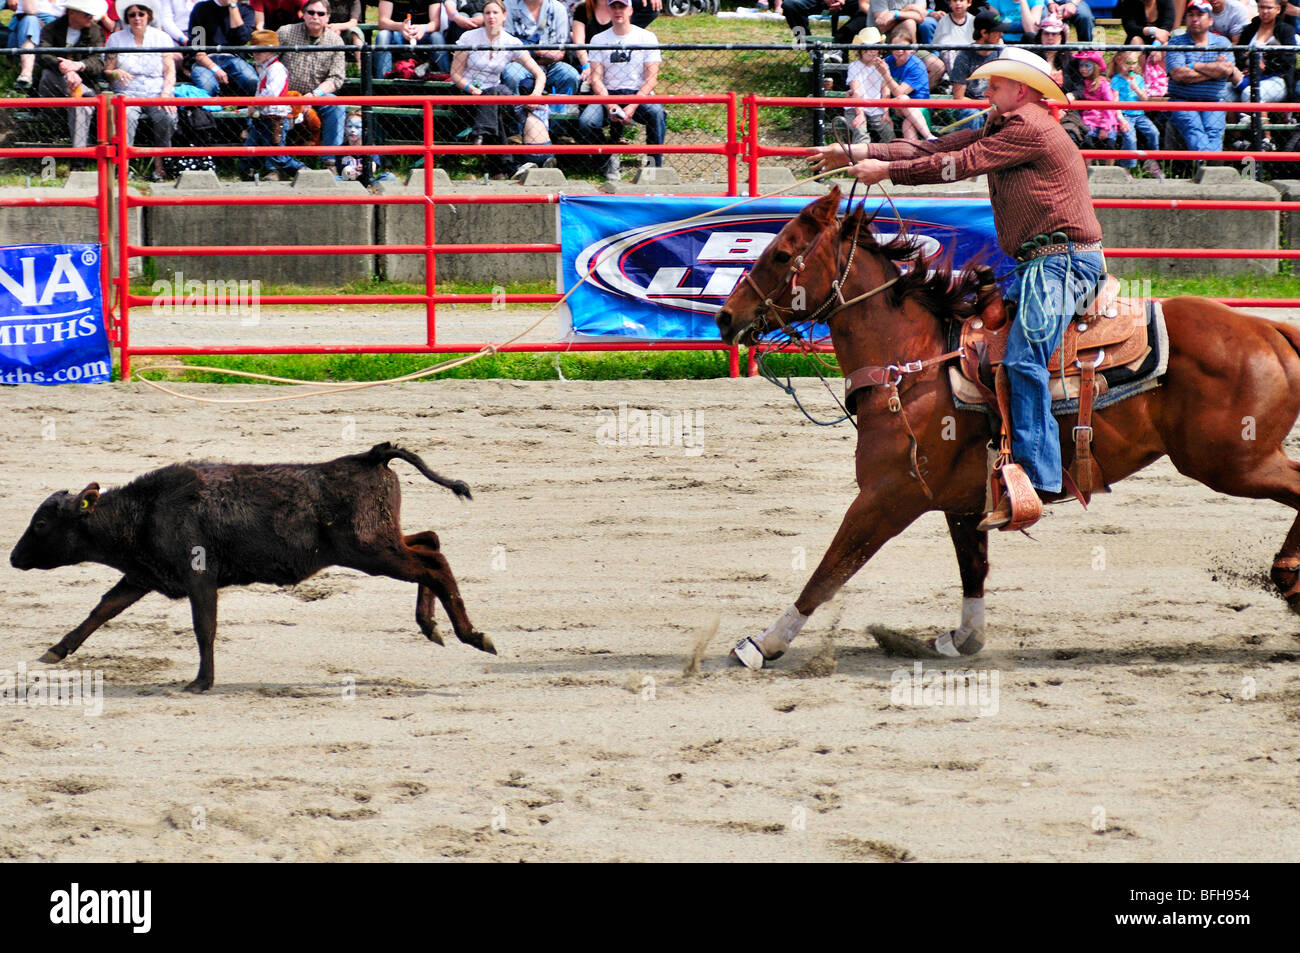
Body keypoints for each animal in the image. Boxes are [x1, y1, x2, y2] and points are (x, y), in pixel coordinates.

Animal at [9, 443, 493, 693]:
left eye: (41, 523)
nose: (13, 558)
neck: (143, 511)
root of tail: (370, 456)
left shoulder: (199, 579)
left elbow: (204, 627)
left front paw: (201, 682)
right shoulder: (143, 576)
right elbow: (102, 610)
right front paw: (55, 650)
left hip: (372, 551)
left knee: (433, 565)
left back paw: (471, 635)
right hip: (382, 542)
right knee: (430, 542)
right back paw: (433, 626)